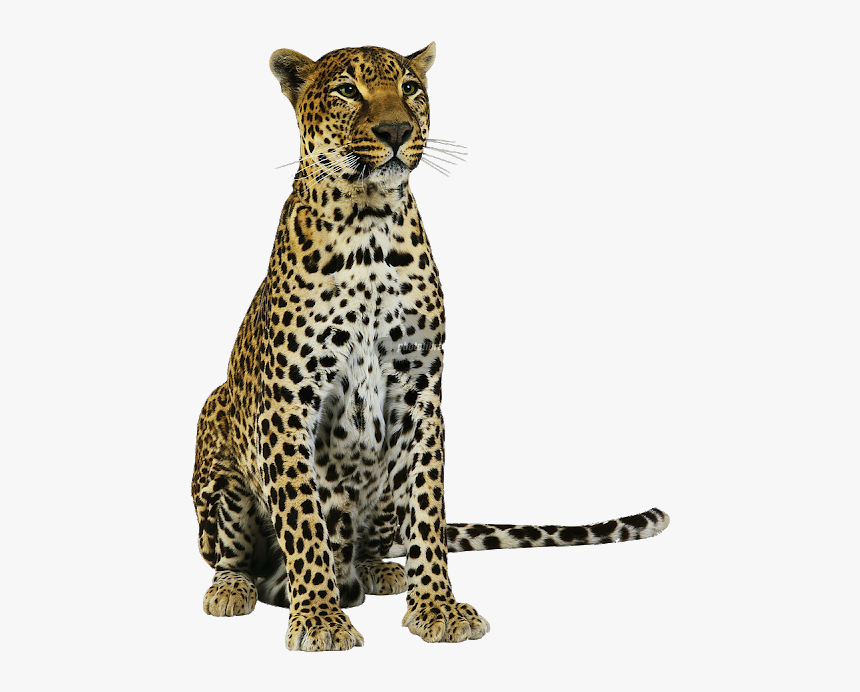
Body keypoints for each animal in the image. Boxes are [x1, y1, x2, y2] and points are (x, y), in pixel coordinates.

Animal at [191, 42, 669, 652]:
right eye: (347, 90)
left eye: (410, 88)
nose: (397, 129)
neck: (368, 227)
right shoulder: (288, 401)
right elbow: (302, 516)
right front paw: (320, 617)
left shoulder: (418, 393)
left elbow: (426, 506)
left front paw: (437, 606)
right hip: (215, 429)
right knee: (227, 557)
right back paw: (239, 589)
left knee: (372, 545)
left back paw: (373, 573)